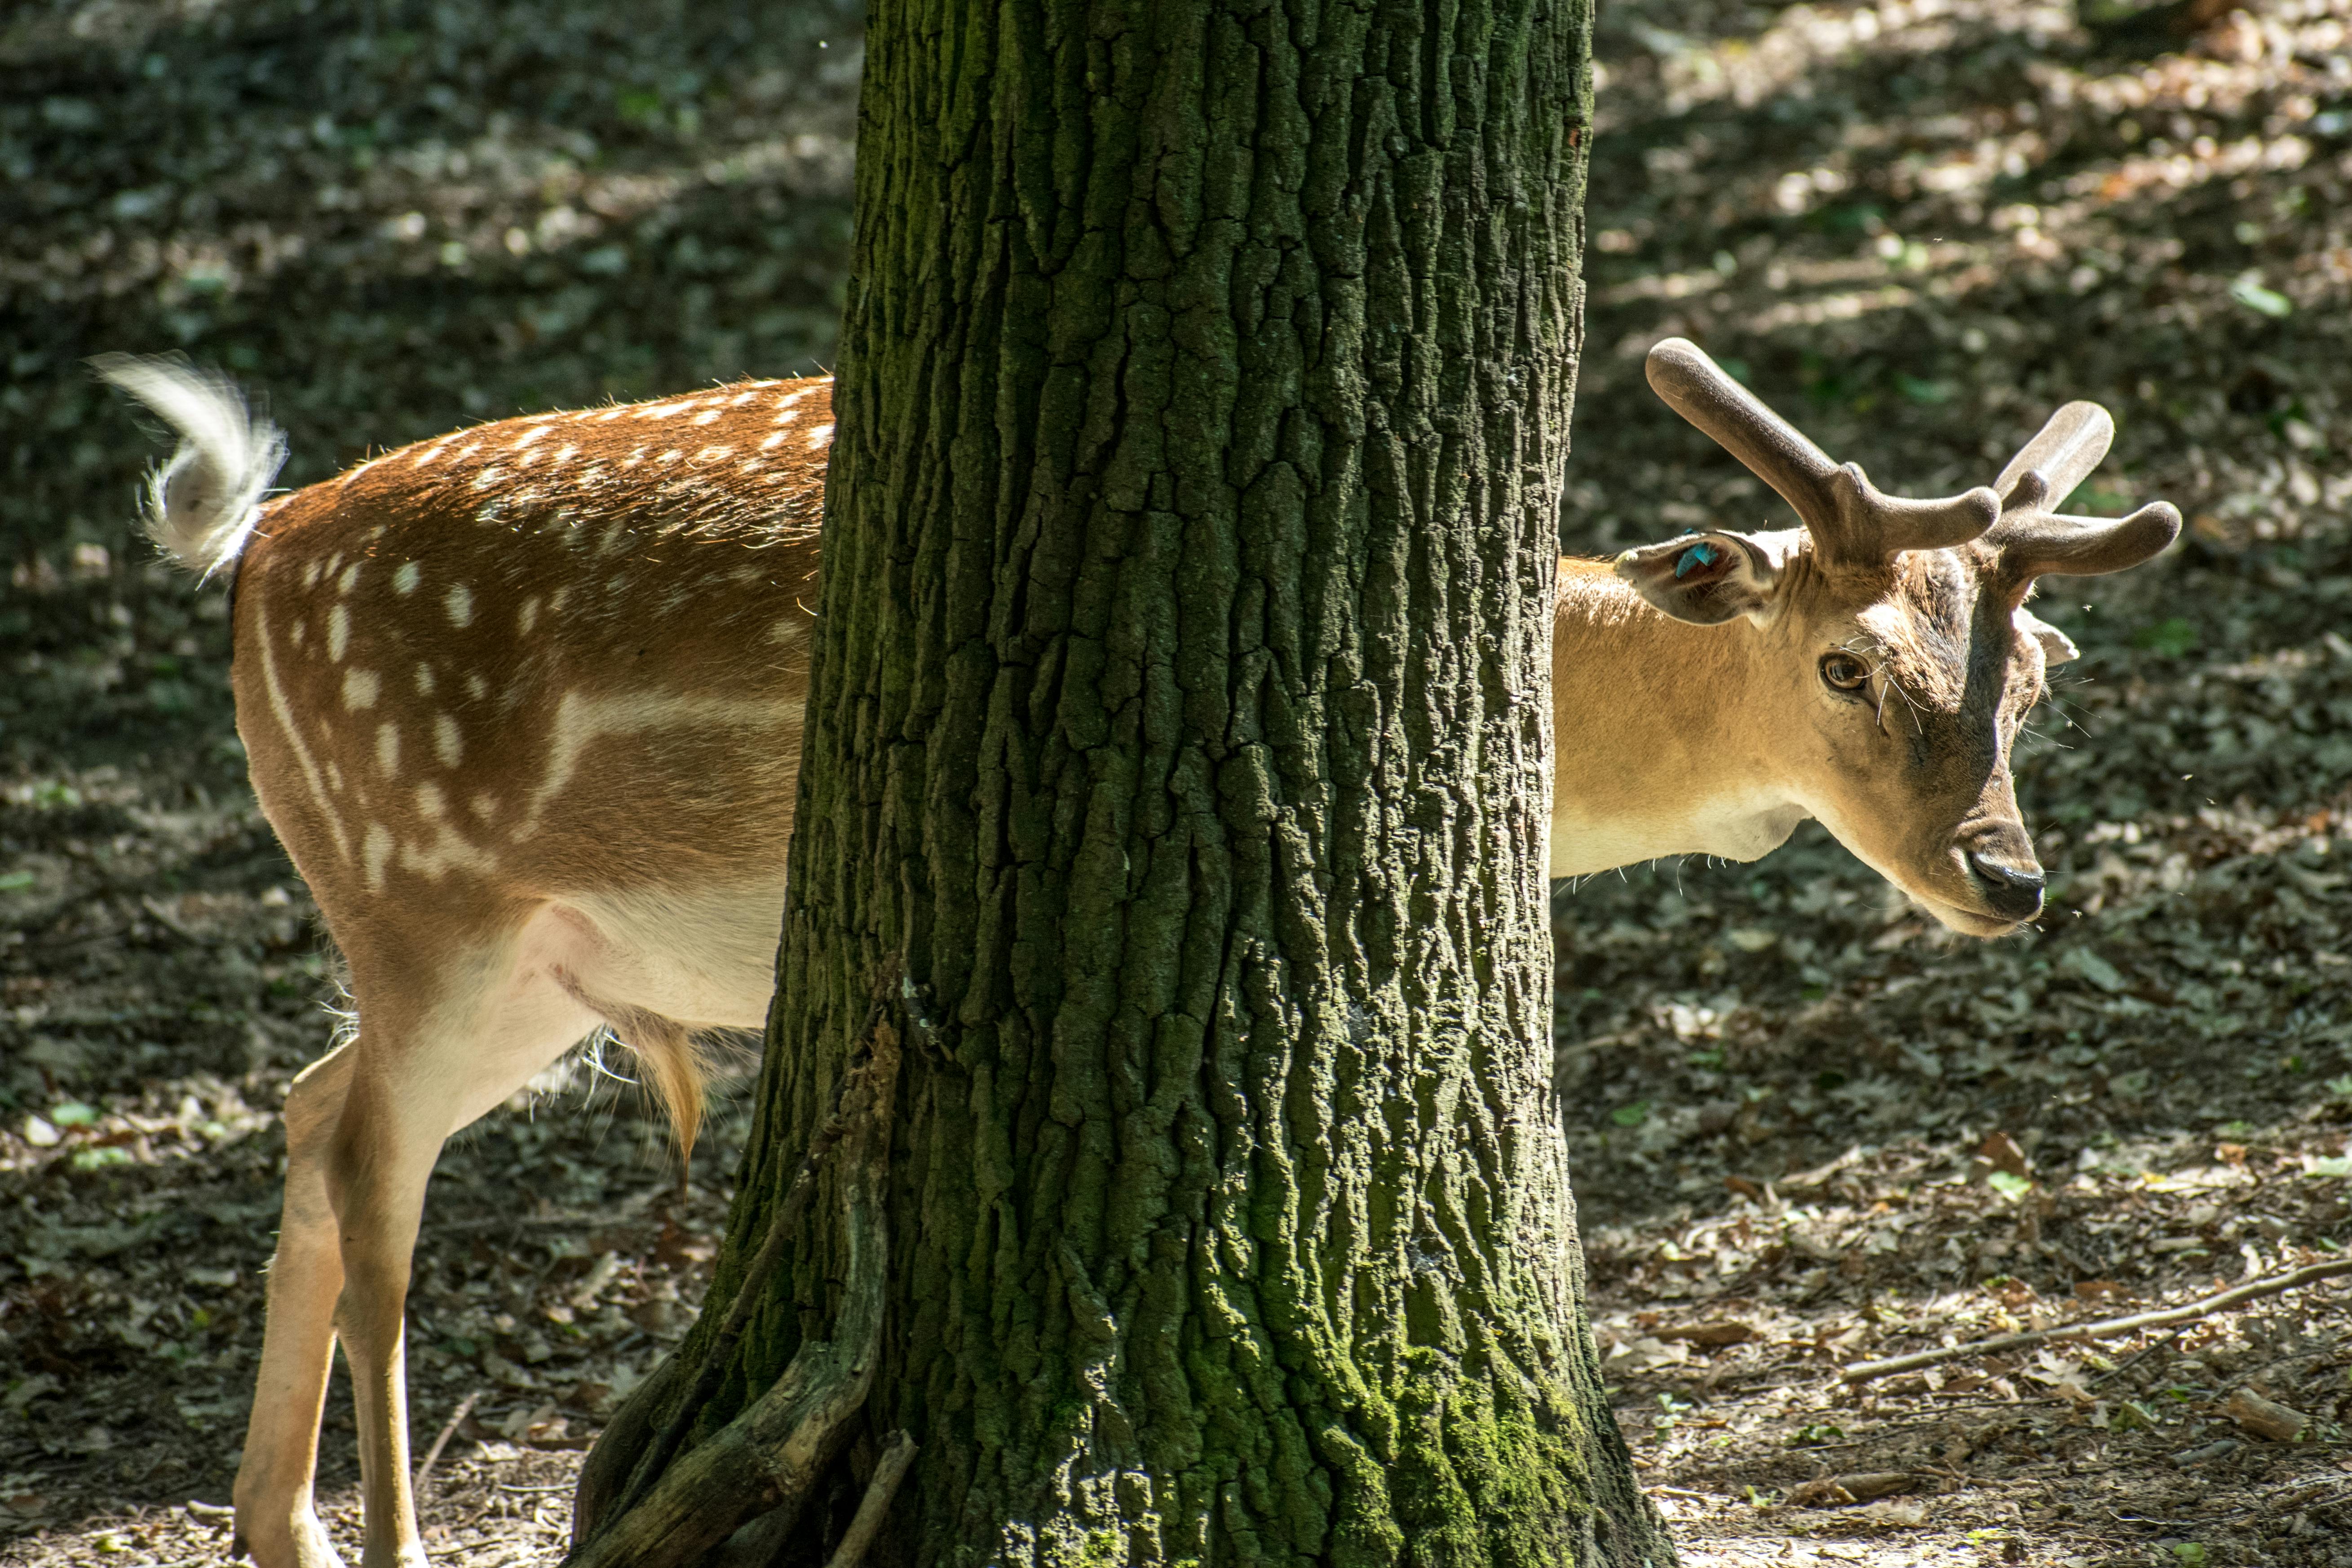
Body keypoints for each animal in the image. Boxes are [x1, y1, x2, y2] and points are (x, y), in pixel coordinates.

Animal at [96, 338, 2176, 1568]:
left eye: (2034, 681)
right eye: (1845, 663)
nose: (2005, 875)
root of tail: (254, 548)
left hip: (528, 965)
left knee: (309, 1110)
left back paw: (278, 1526)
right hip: (422, 886)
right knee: (373, 1175)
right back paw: (380, 1540)